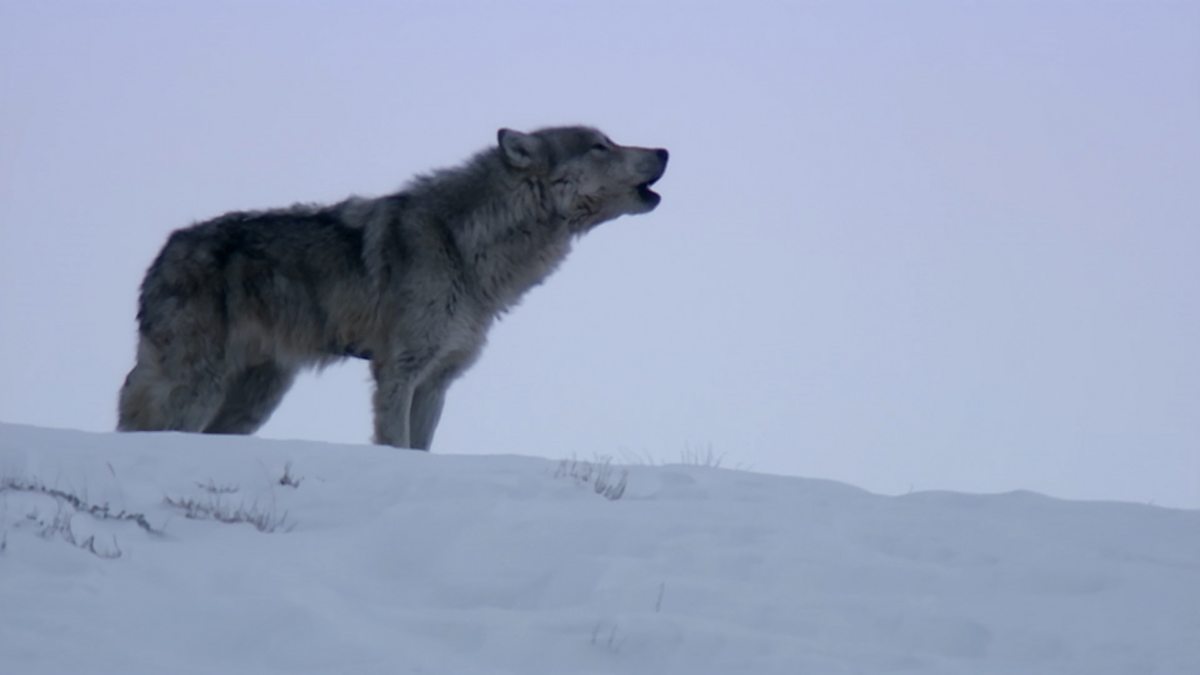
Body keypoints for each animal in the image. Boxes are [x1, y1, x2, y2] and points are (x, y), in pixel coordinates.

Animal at [117, 126, 668, 449]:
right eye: (601, 145)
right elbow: (395, 442)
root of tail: (166, 249)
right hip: (197, 389)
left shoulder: (438, 381)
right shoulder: (398, 371)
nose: (664, 149)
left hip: (254, 400)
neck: (464, 245)